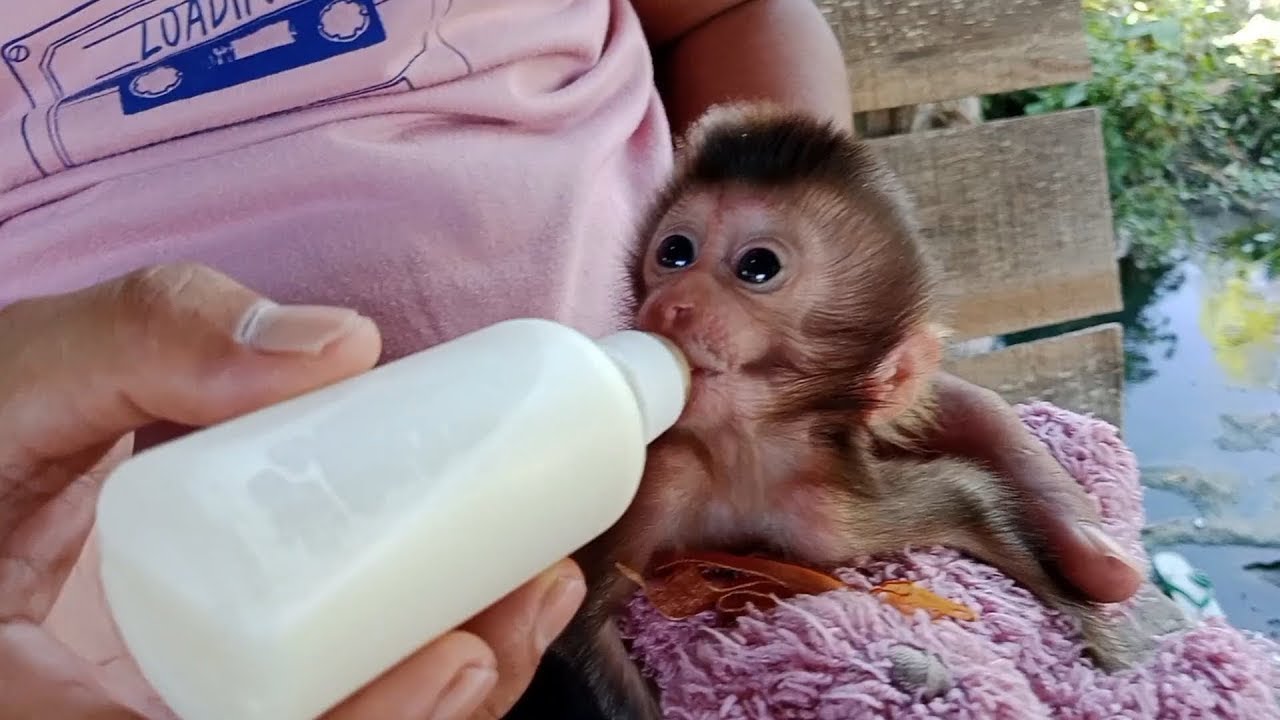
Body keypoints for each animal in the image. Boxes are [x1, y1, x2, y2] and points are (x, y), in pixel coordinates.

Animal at [550, 103, 1174, 720]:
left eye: (757, 266)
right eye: (675, 253)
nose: (672, 305)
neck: (741, 461)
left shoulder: (827, 511)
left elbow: (968, 499)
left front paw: (1108, 641)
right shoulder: (663, 481)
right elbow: (581, 628)